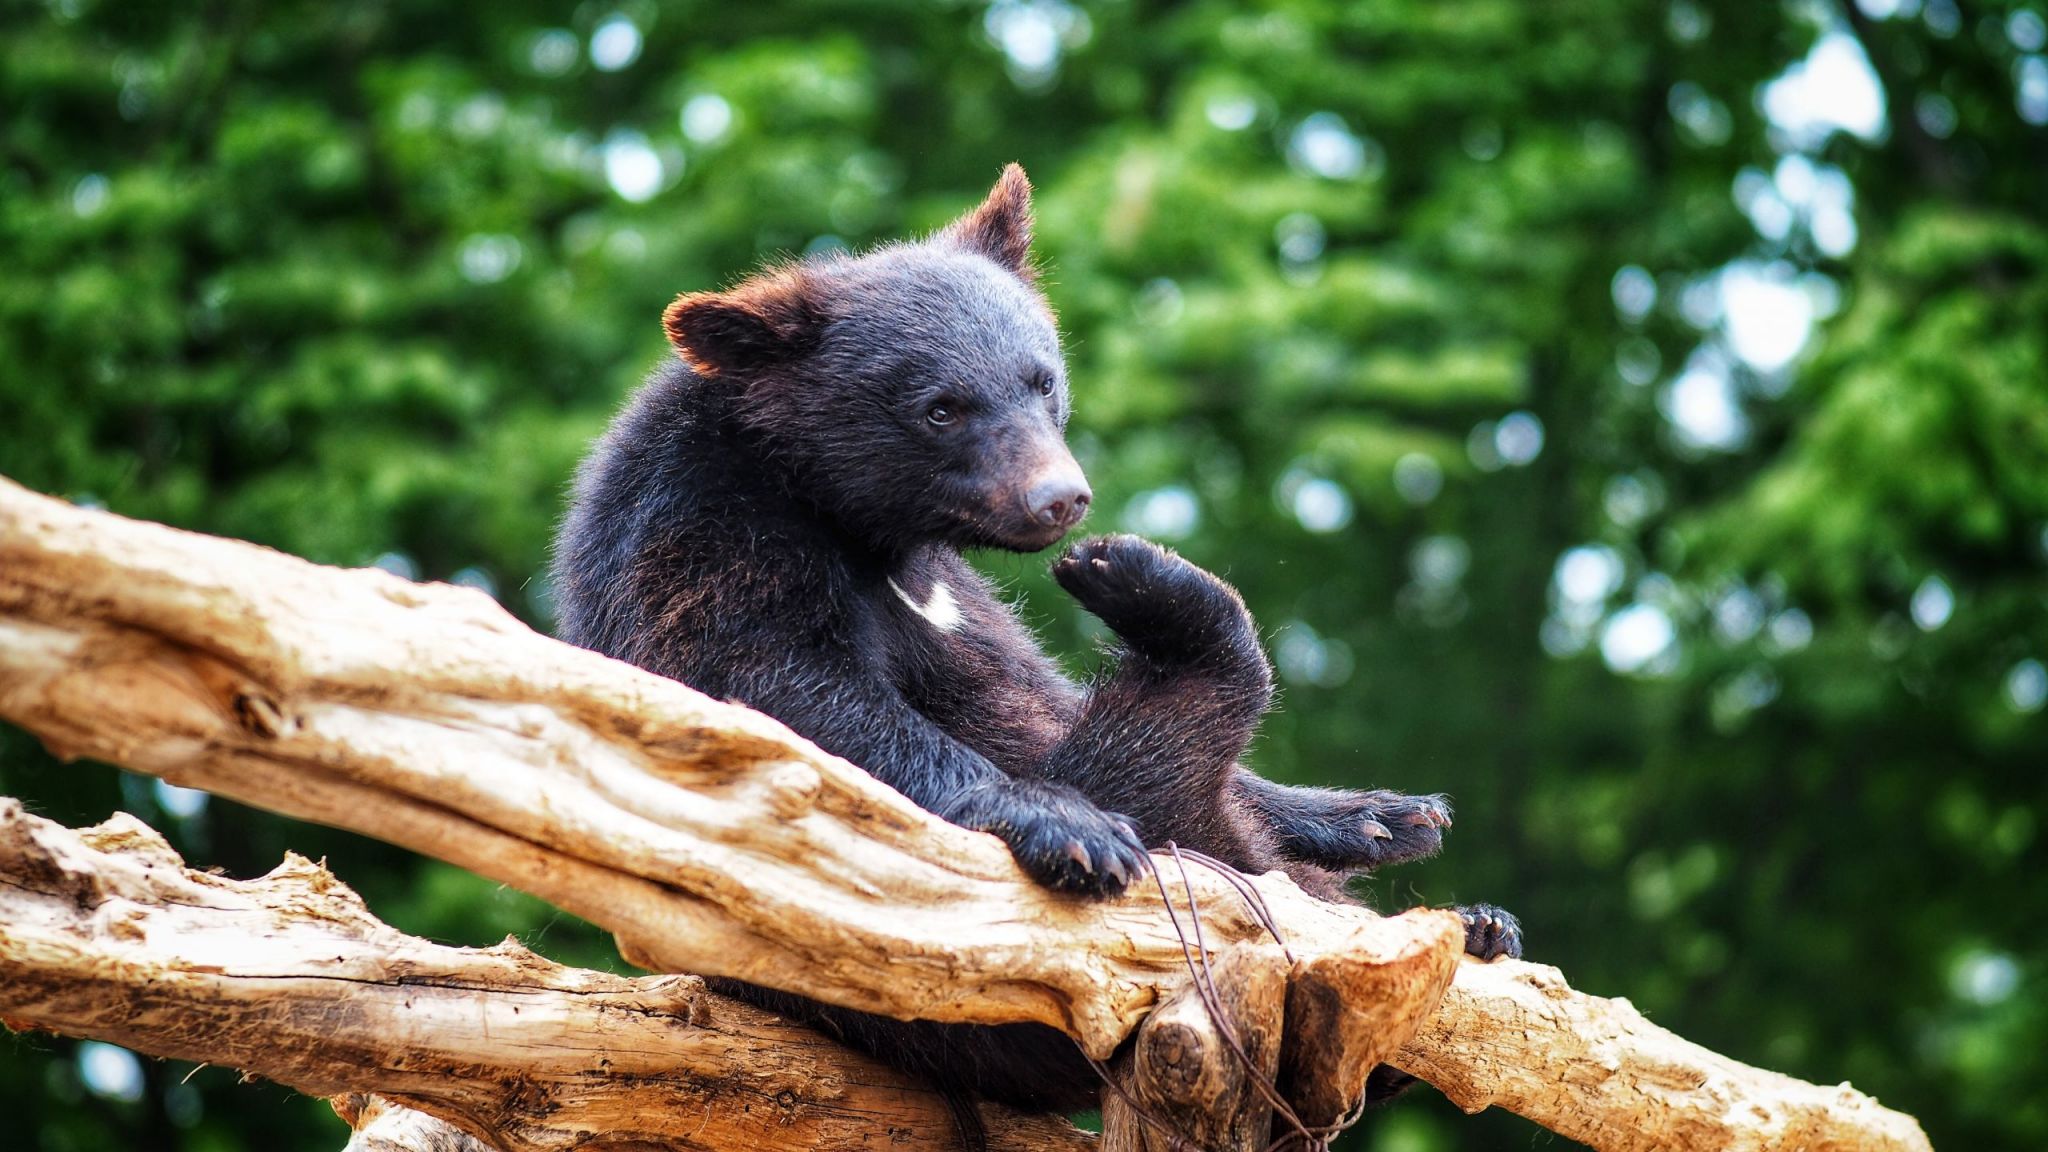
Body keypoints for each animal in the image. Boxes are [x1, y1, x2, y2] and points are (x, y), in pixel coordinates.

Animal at [550, 164, 1520, 1118]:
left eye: (1042, 379)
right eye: (941, 408)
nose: (1060, 500)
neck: (866, 530)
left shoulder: (963, 603)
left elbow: (1032, 686)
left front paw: (1382, 812)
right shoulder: (703, 545)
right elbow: (786, 697)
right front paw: (1067, 822)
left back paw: (1475, 921)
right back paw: (1164, 600)